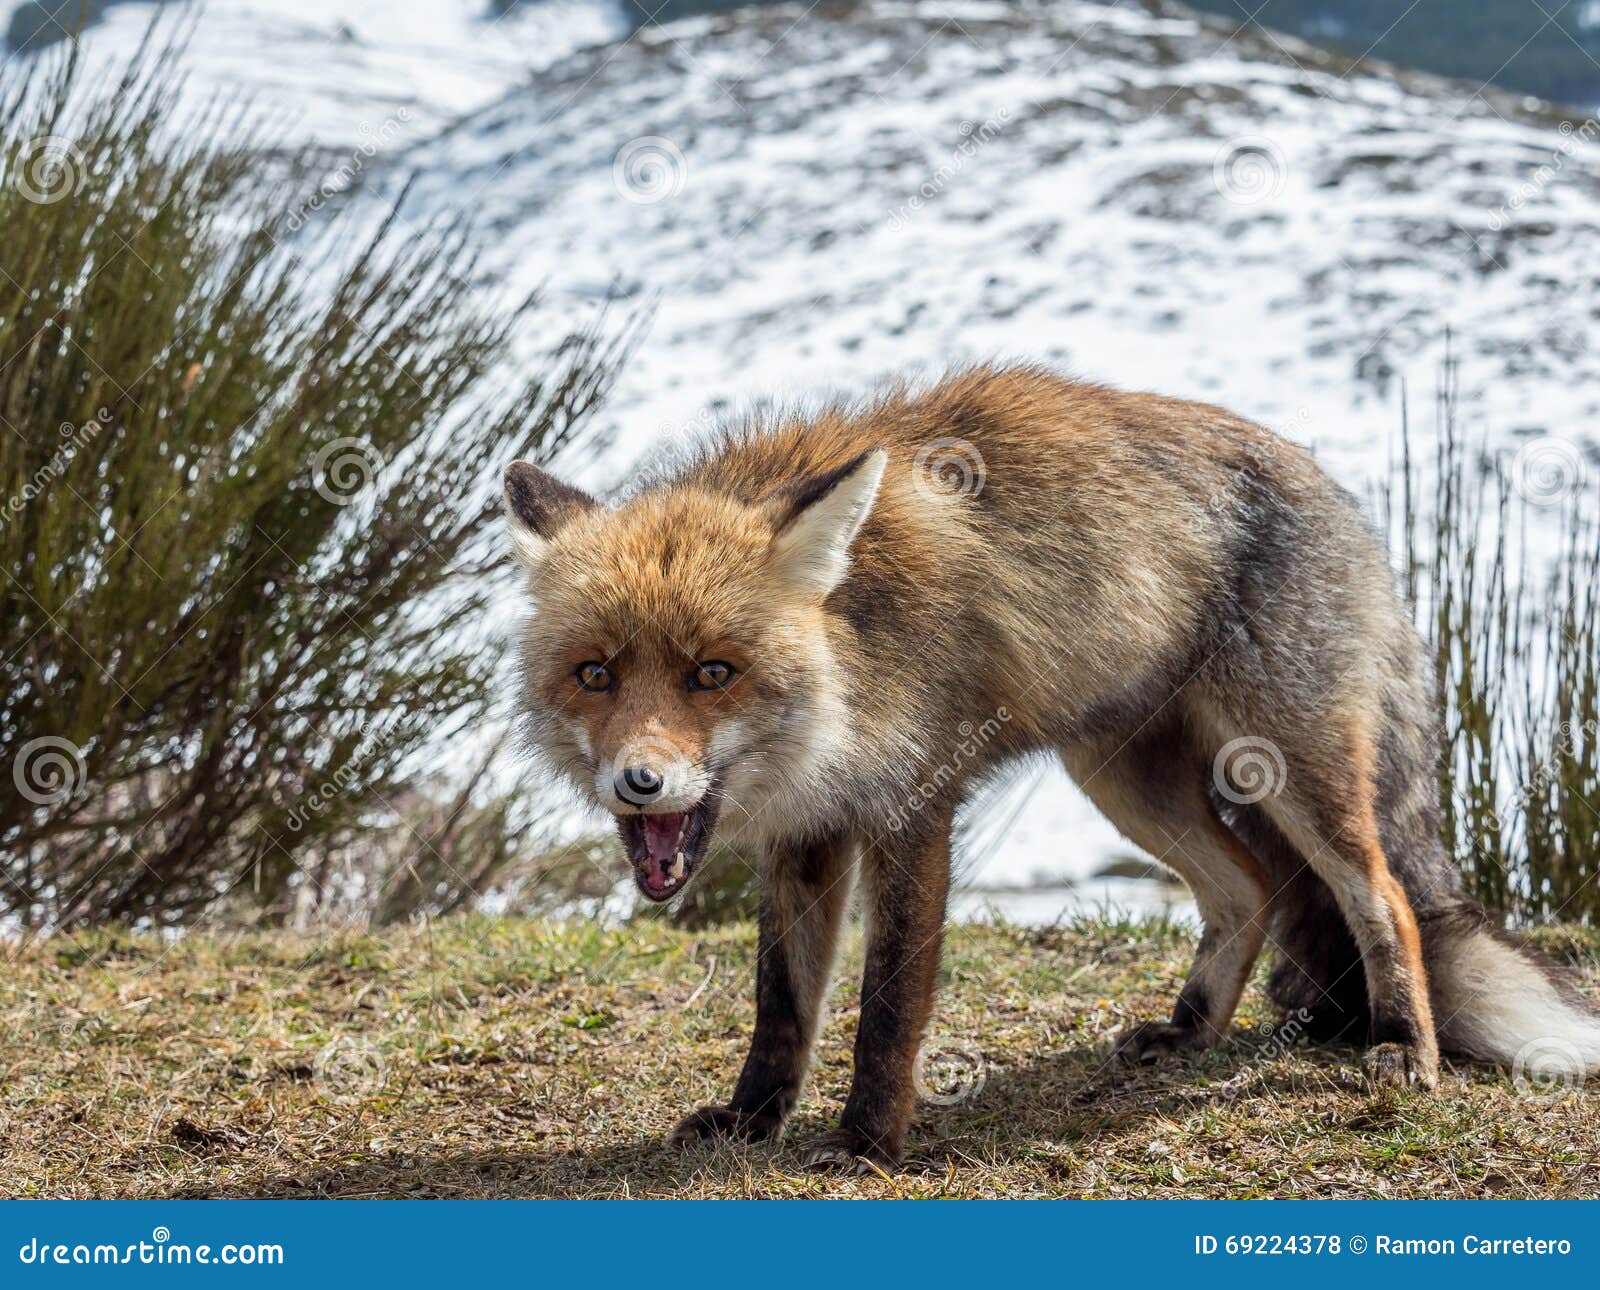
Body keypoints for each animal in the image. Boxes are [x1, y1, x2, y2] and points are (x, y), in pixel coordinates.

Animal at [503, 364, 1600, 1172]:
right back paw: (1189, 1032)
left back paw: (1402, 1045)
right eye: (596, 673)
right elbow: (782, 1005)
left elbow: (888, 1009)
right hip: (1122, 777)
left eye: (712, 673)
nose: (638, 783)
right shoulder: (809, 830)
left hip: (1293, 766)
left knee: (1384, 897)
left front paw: (867, 1143)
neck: (852, 653)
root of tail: (1335, 491)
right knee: (1245, 887)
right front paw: (752, 1121)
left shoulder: (914, 807)